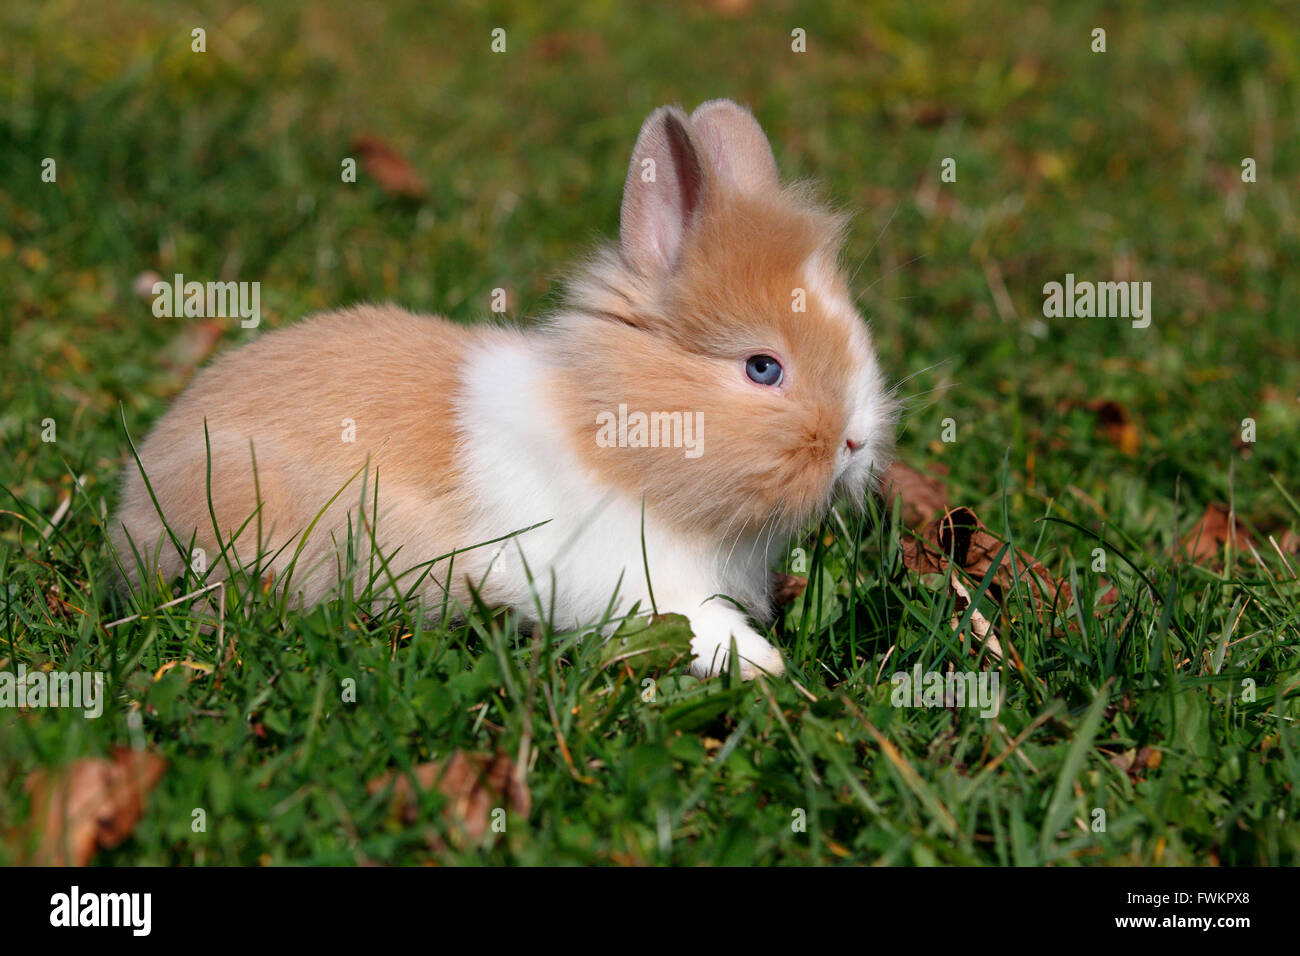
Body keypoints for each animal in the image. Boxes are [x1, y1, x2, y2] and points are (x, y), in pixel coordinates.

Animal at [110, 99, 895, 680]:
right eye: (762, 368)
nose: (856, 443)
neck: (612, 436)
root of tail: (131, 508)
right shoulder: (633, 582)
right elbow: (697, 623)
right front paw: (765, 665)